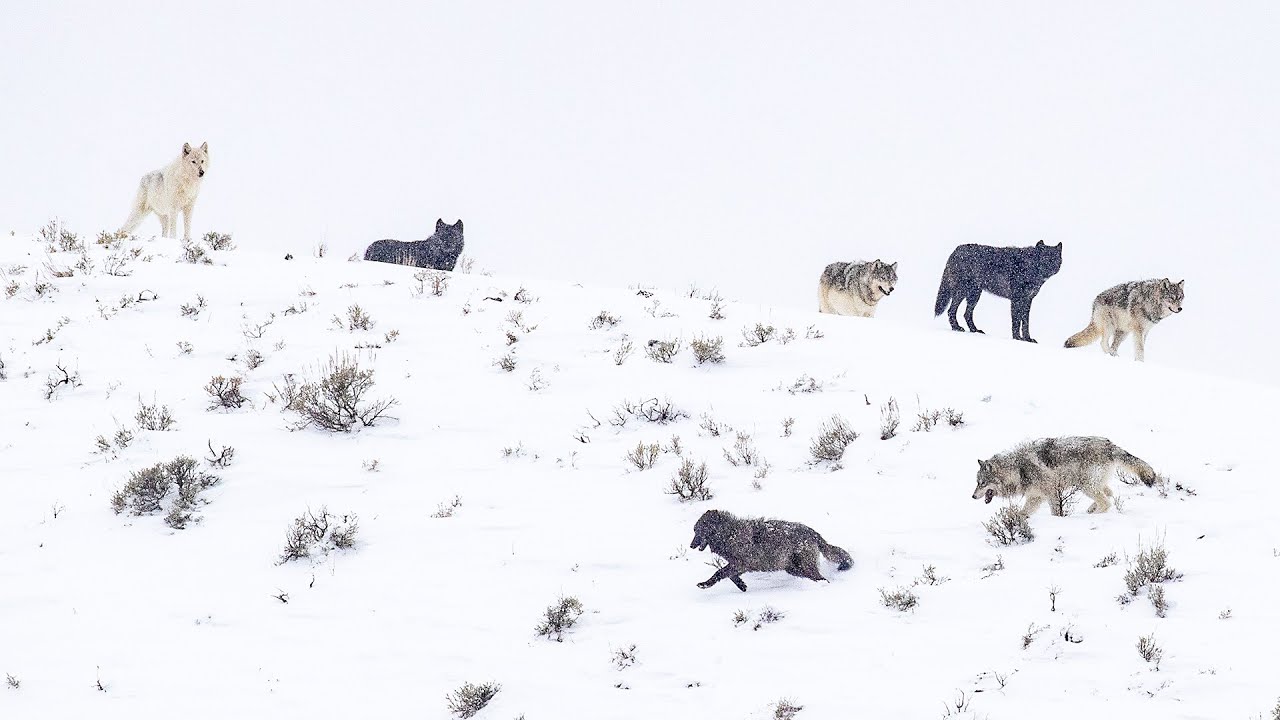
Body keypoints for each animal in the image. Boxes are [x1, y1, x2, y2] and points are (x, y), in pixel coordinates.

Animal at [689, 509, 852, 592]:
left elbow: (719, 573)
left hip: (803, 567)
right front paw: (742, 586)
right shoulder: (741, 566)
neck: (728, 534)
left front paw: (705, 584)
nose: (691, 545)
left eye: (699, 531)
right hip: (794, 569)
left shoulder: (741, 564)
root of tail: (814, 533)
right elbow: (730, 576)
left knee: (822, 579)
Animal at [933, 240, 1063, 342]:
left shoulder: (1027, 301)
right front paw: (1017, 338)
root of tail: (956, 249)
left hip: (975, 295)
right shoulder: (1016, 299)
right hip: (962, 292)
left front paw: (1027, 339)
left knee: (966, 314)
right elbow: (1016, 322)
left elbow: (1025, 323)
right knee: (951, 310)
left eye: (1054, 259)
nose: (1049, 268)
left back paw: (975, 330)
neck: (1029, 267)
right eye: (1044, 259)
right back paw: (956, 328)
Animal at [971, 436, 1158, 516]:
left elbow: (1055, 512)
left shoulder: (1051, 494)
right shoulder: (1035, 497)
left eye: (982, 483)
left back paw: (1095, 515)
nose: (972, 496)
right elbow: (1022, 514)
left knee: (1106, 502)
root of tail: (1109, 445)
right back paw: (1091, 509)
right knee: (1109, 493)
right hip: (1090, 484)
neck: (1018, 469)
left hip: (1085, 485)